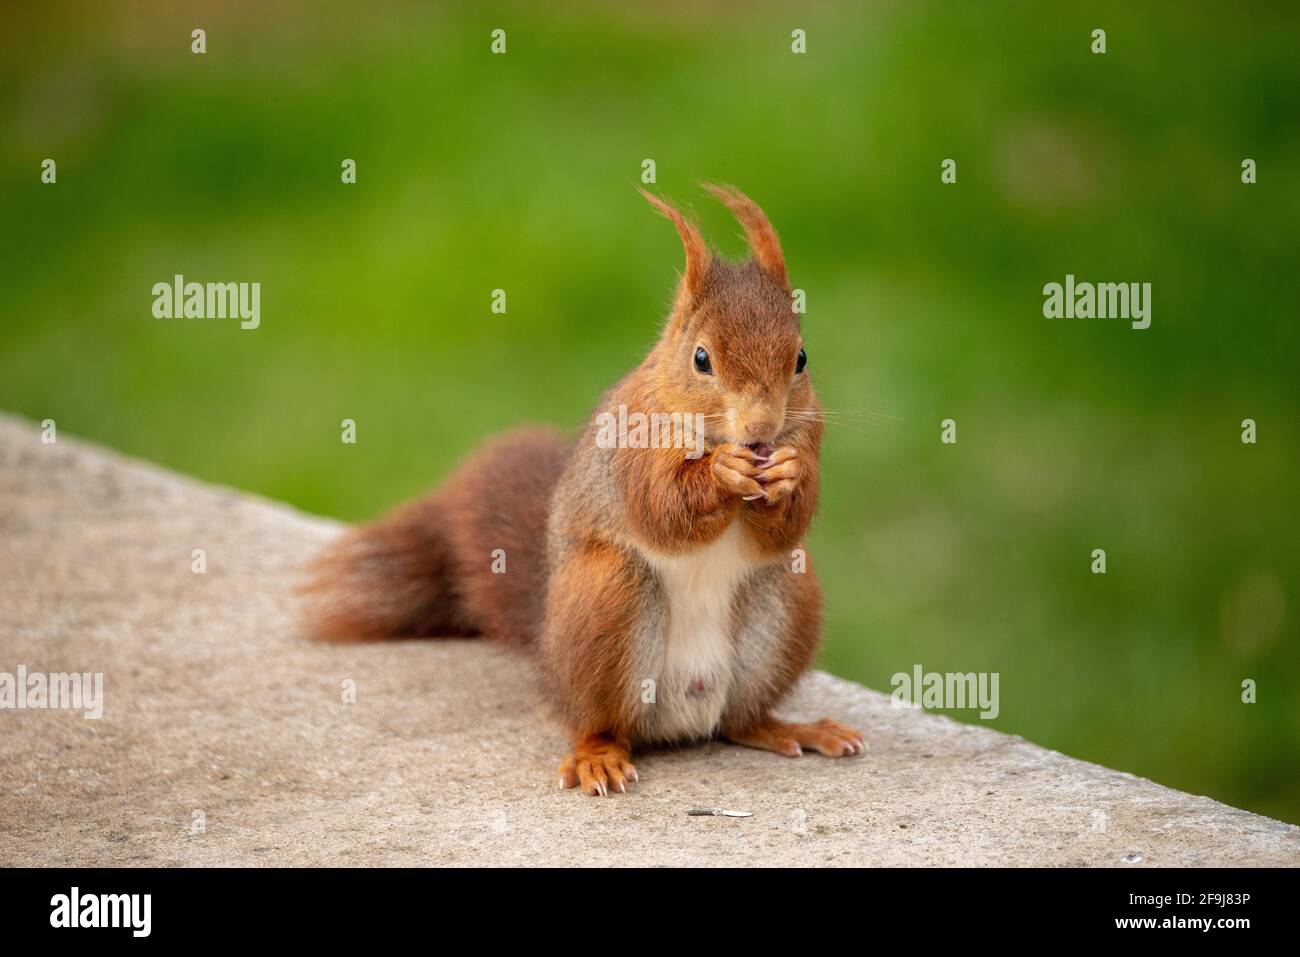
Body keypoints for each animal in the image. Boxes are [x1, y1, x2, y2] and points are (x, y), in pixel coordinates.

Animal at [300, 184, 864, 796]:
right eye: (701, 359)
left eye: (801, 359)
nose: (761, 431)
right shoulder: (631, 448)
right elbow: (661, 509)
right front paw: (722, 473)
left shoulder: (808, 435)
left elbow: (785, 524)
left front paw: (788, 475)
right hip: (605, 600)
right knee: (602, 722)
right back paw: (600, 755)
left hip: (784, 600)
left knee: (739, 721)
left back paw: (793, 728)